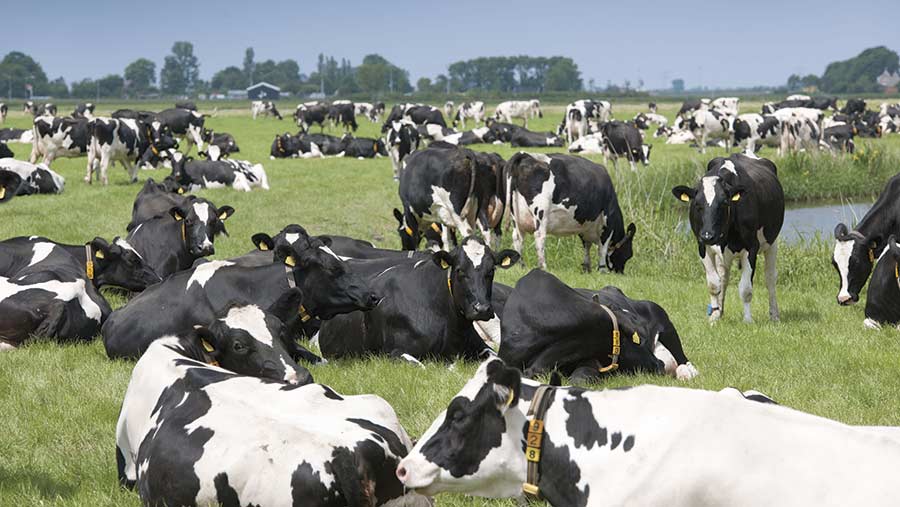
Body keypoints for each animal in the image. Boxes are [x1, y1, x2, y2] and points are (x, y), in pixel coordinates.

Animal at [498, 269, 699, 381]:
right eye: (637, 339)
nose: (659, 364)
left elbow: (580, 379)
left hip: (668, 328)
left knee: (684, 360)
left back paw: (687, 373)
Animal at [506, 152, 636, 272]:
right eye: (629, 254)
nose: (620, 272)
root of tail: (526, 155)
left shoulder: (584, 225)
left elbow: (586, 246)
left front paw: (586, 268)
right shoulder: (607, 221)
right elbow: (602, 249)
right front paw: (602, 270)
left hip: (516, 216)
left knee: (517, 238)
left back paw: (520, 266)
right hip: (541, 213)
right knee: (539, 237)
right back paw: (543, 266)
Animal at [672, 154, 784, 322]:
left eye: (724, 203)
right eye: (697, 204)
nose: (708, 235)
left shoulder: (752, 247)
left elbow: (746, 289)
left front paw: (747, 320)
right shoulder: (702, 246)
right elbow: (714, 284)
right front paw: (714, 317)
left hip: (772, 243)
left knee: (770, 277)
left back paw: (774, 315)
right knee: (724, 278)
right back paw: (720, 311)